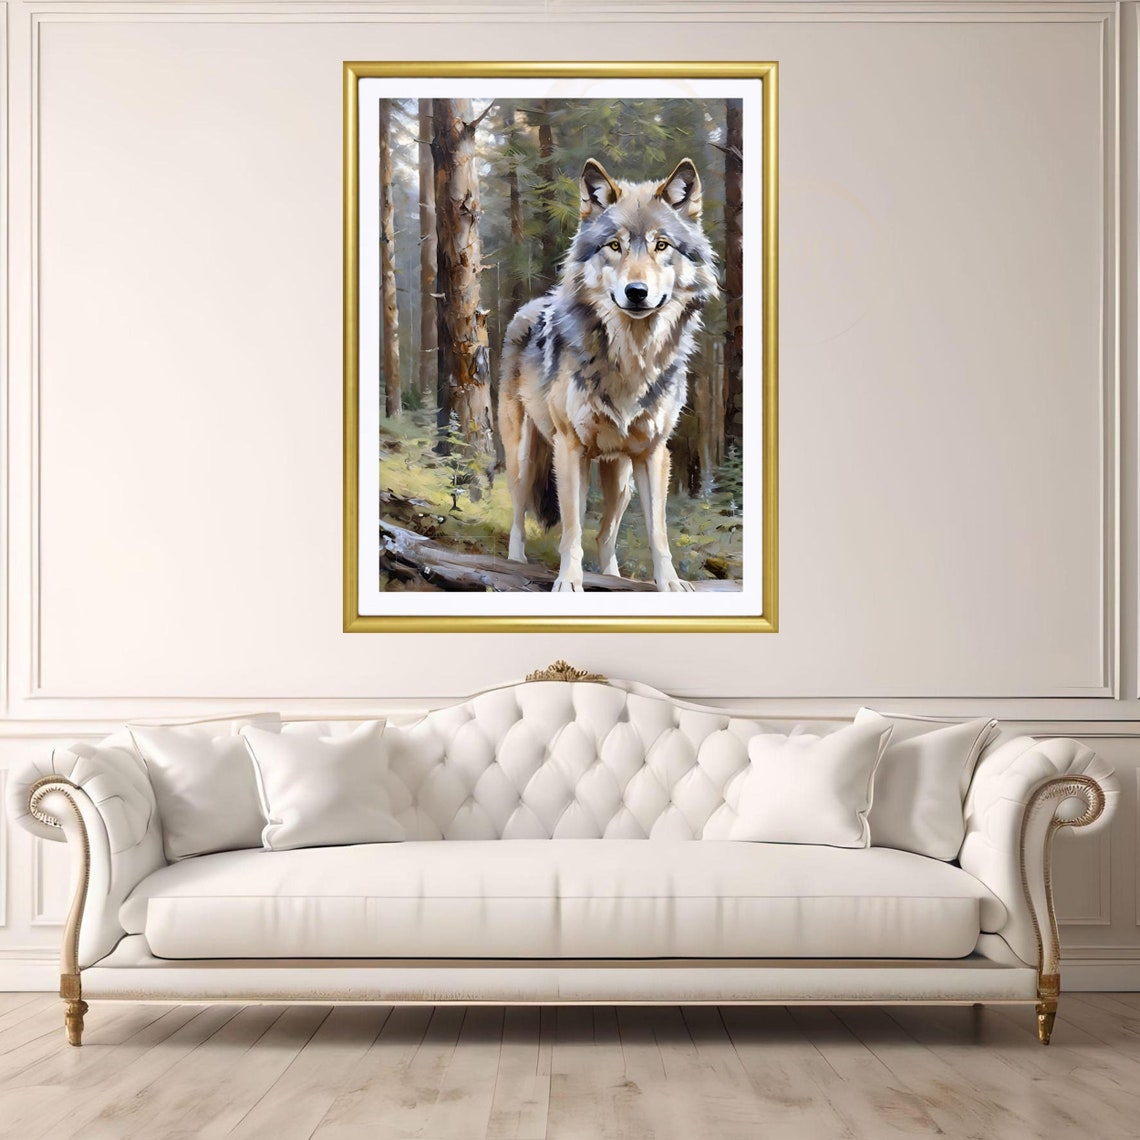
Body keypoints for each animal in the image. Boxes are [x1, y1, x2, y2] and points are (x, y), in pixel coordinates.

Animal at [498, 156, 719, 592]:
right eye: (614, 245)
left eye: (661, 245)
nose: (636, 292)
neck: (631, 359)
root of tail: (530, 304)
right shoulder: (569, 449)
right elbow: (571, 530)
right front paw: (568, 582)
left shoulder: (654, 452)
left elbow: (657, 531)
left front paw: (669, 583)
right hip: (524, 457)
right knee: (518, 515)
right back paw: (515, 563)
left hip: (620, 476)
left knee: (605, 534)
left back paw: (612, 576)